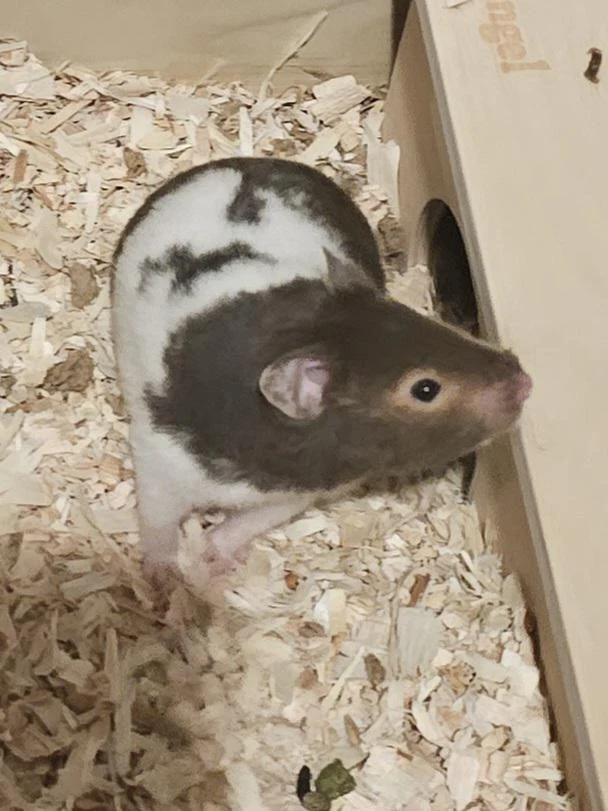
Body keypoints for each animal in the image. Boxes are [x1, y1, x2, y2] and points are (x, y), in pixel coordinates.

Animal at [112, 157, 532, 584]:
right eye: (426, 389)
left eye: (437, 325)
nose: (526, 381)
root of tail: (253, 163)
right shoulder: (160, 462)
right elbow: (158, 522)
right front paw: (164, 580)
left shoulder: (294, 494)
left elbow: (249, 522)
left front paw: (213, 560)